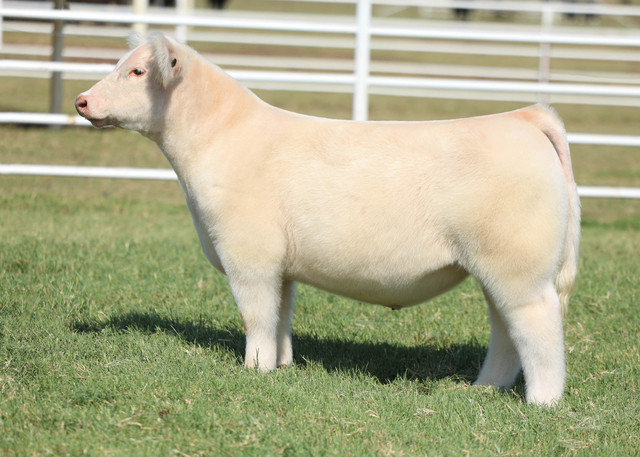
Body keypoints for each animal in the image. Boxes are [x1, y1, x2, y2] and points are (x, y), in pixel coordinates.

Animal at [75, 33, 580, 405]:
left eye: (138, 71)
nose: (81, 100)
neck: (222, 141)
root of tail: (522, 117)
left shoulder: (248, 255)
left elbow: (256, 314)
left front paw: (253, 369)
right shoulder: (280, 266)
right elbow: (280, 314)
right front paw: (279, 365)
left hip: (518, 266)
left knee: (538, 328)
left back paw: (542, 402)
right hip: (496, 268)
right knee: (505, 331)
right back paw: (481, 389)